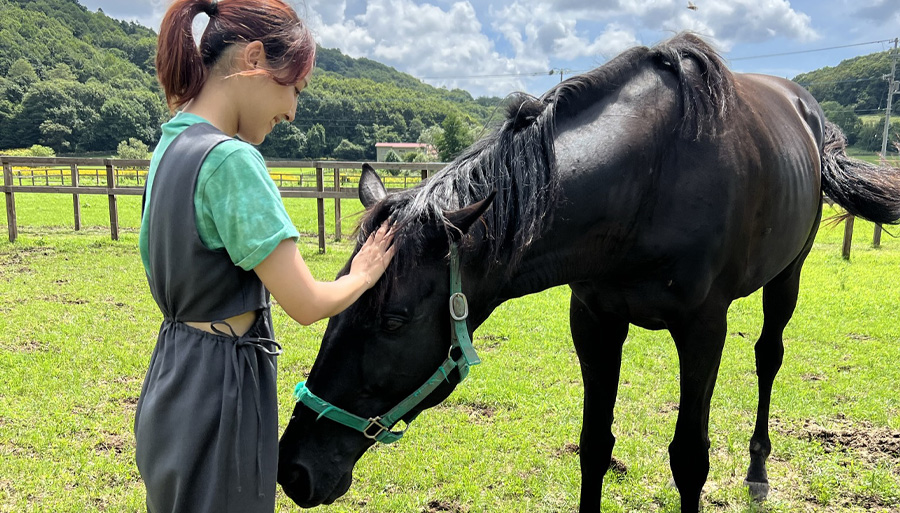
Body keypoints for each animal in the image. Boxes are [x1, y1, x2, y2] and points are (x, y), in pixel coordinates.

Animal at [278, 33, 900, 512]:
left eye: (394, 320)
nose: (294, 471)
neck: (649, 181)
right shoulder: (595, 322)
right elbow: (595, 444)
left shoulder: (703, 330)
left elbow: (689, 458)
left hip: (787, 277)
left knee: (769, 357)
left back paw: (758, 471)